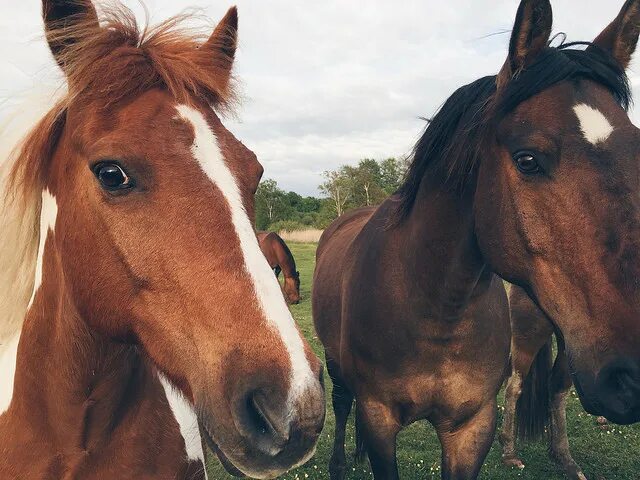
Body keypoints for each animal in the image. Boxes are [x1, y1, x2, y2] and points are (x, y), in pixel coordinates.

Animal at [312, 1, 640, 478]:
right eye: (527, 159)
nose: (629, 376)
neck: (435, 309)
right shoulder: (379, 420)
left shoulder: (471, 429)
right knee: (340, 401)